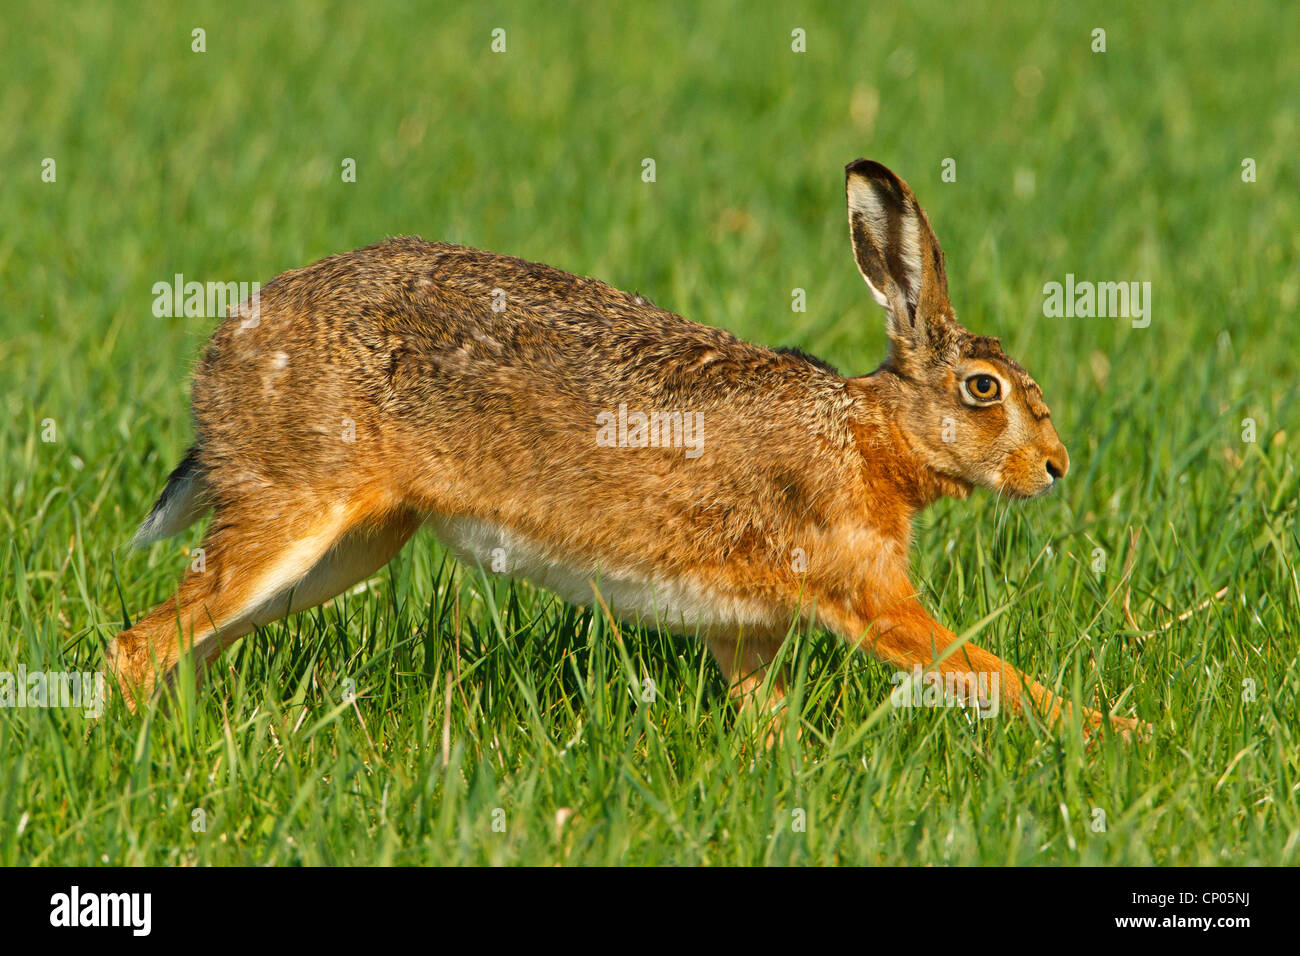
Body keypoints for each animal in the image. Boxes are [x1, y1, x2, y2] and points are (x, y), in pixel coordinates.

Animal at [108, 159, 1144, 740]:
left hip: (350, 546)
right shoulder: (870, 594)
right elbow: (985, 672)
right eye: (984, 389)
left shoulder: (747, 628)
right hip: (295, 508)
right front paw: (1117, 733)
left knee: (192, 640)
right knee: (142, 643)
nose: (1055, 468)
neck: (871, 437)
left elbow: (763, 713)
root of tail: (225, 350)